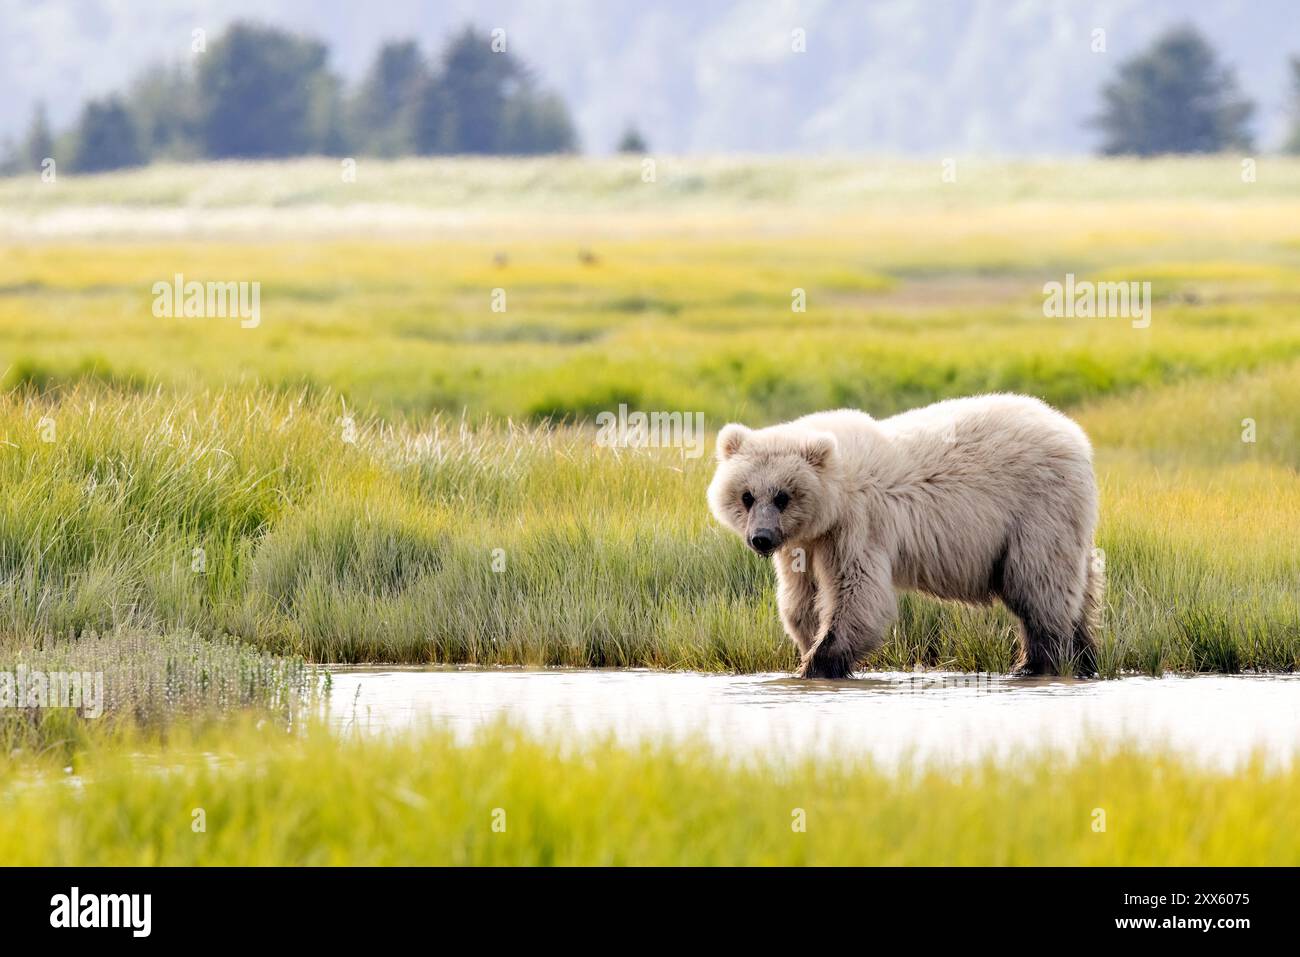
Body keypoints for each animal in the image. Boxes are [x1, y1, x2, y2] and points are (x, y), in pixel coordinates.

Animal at [706, 394, 1103, 679]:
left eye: (782, 496)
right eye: (747, 495)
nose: (760, 538)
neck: (833, 502)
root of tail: (1074, 433)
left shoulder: (859, 527)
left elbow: (858, 595)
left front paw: (817, 664)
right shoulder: (804, 544)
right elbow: (800, 599)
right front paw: (808, 645)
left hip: (1036, 510)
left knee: (1040, 585)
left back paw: (1034, 663)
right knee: (1081, 585)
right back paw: (1085, 658)